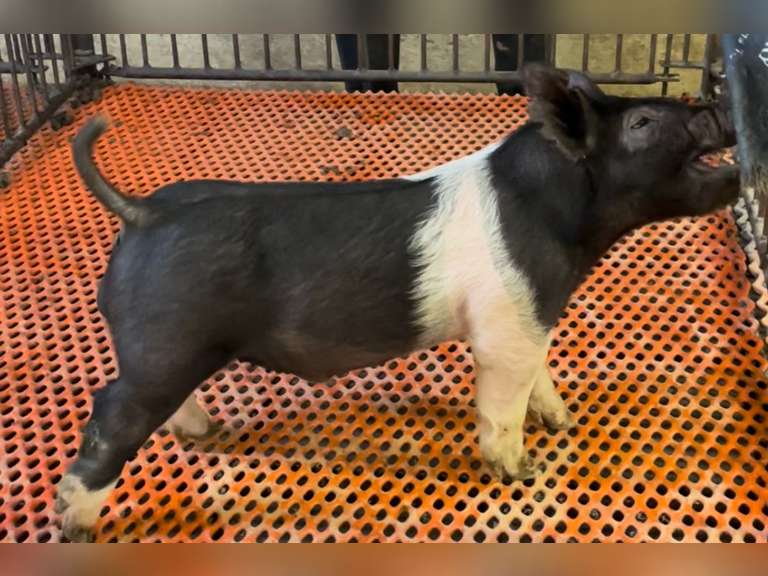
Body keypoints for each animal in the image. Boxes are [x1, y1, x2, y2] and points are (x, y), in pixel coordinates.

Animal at [56, 64, 738, 541]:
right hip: (164, 344)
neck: (564, 226)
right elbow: (502, 407)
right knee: (111, 416)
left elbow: (539, 377)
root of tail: (142, 212)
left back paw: (206, 432)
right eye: (641, 124)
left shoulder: (531, 315)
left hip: (168, 351)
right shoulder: (504, 330)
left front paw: (563, 420)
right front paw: (523, 472)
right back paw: (76, 524)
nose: (717, 106)